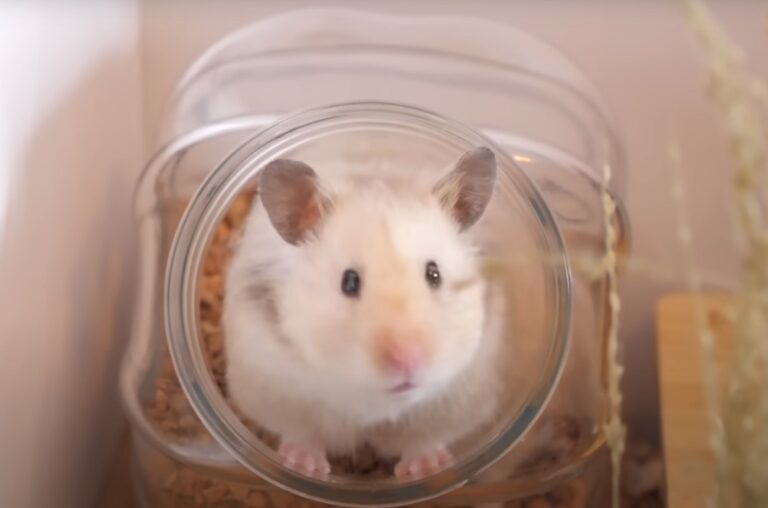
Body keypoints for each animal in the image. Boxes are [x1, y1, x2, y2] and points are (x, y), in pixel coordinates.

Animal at [223, 147, 512, 479]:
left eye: (434, 274)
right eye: (349, 282)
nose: (408, 362)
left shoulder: (460, 397)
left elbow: (426, 437)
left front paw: (426, 469)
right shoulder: (271, 383)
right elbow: (300, 430)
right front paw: (304, 467)